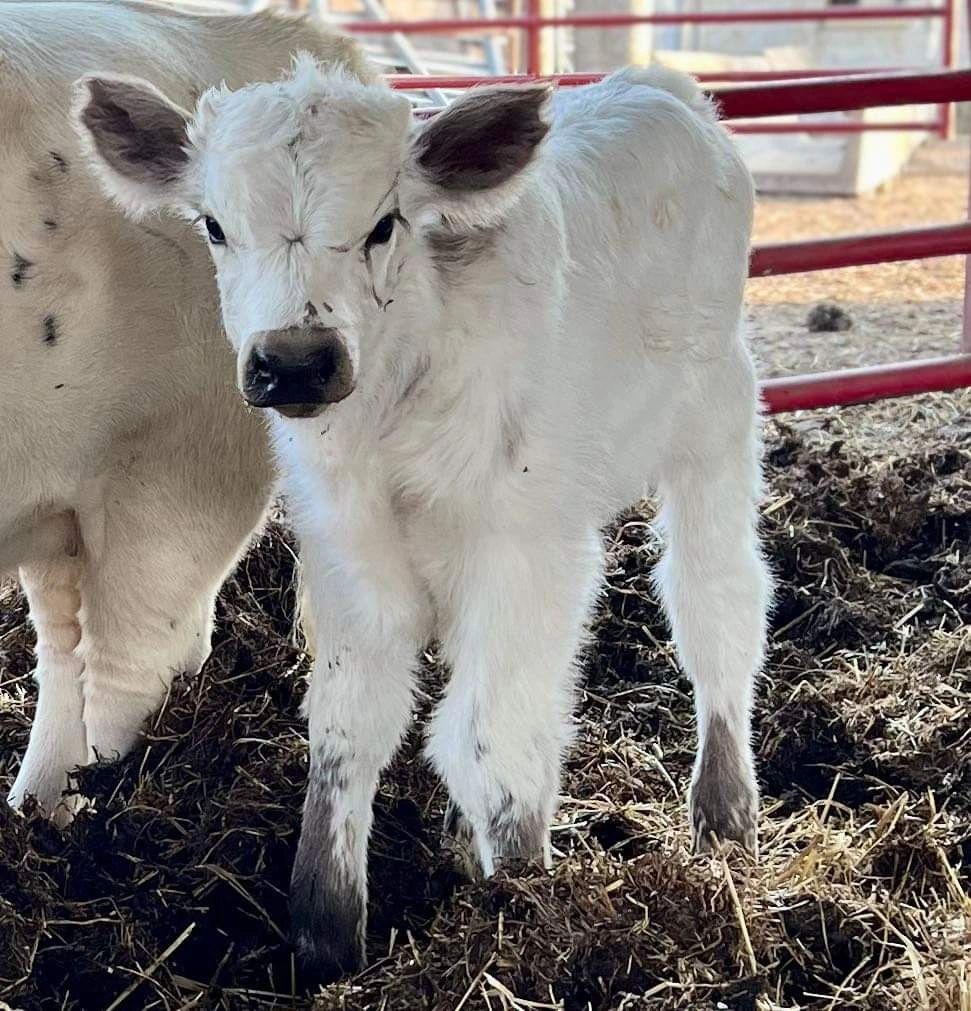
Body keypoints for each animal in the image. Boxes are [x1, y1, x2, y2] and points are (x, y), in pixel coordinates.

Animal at [76, 55, 772, 978]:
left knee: (714, 603)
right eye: (214, 225)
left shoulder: (525, 546)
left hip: (714, 425)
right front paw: (325, 928)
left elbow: (491, 737)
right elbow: (351, 723)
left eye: (383, 225)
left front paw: (522, 903)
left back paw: (724, 813)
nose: (295, 361)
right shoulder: (347, 549)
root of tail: (659, 85)